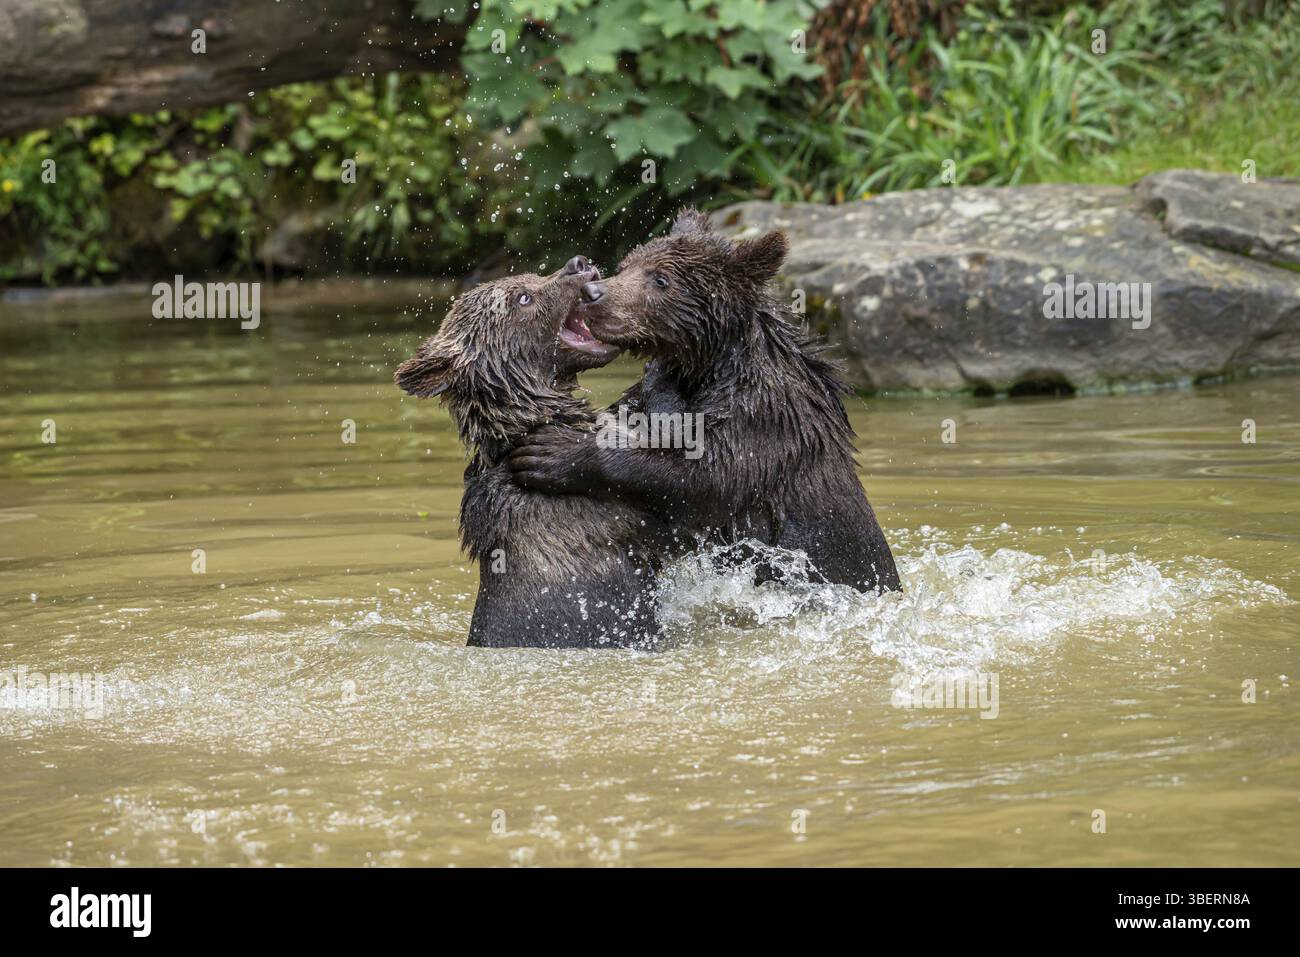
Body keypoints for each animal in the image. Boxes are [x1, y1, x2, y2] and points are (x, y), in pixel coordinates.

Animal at [508, 209, 901, 594]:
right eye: (626, 265)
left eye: (661, 279)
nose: (592, 291)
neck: (709, 365)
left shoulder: (763, 415)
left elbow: (704, 474)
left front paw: (551, 452)